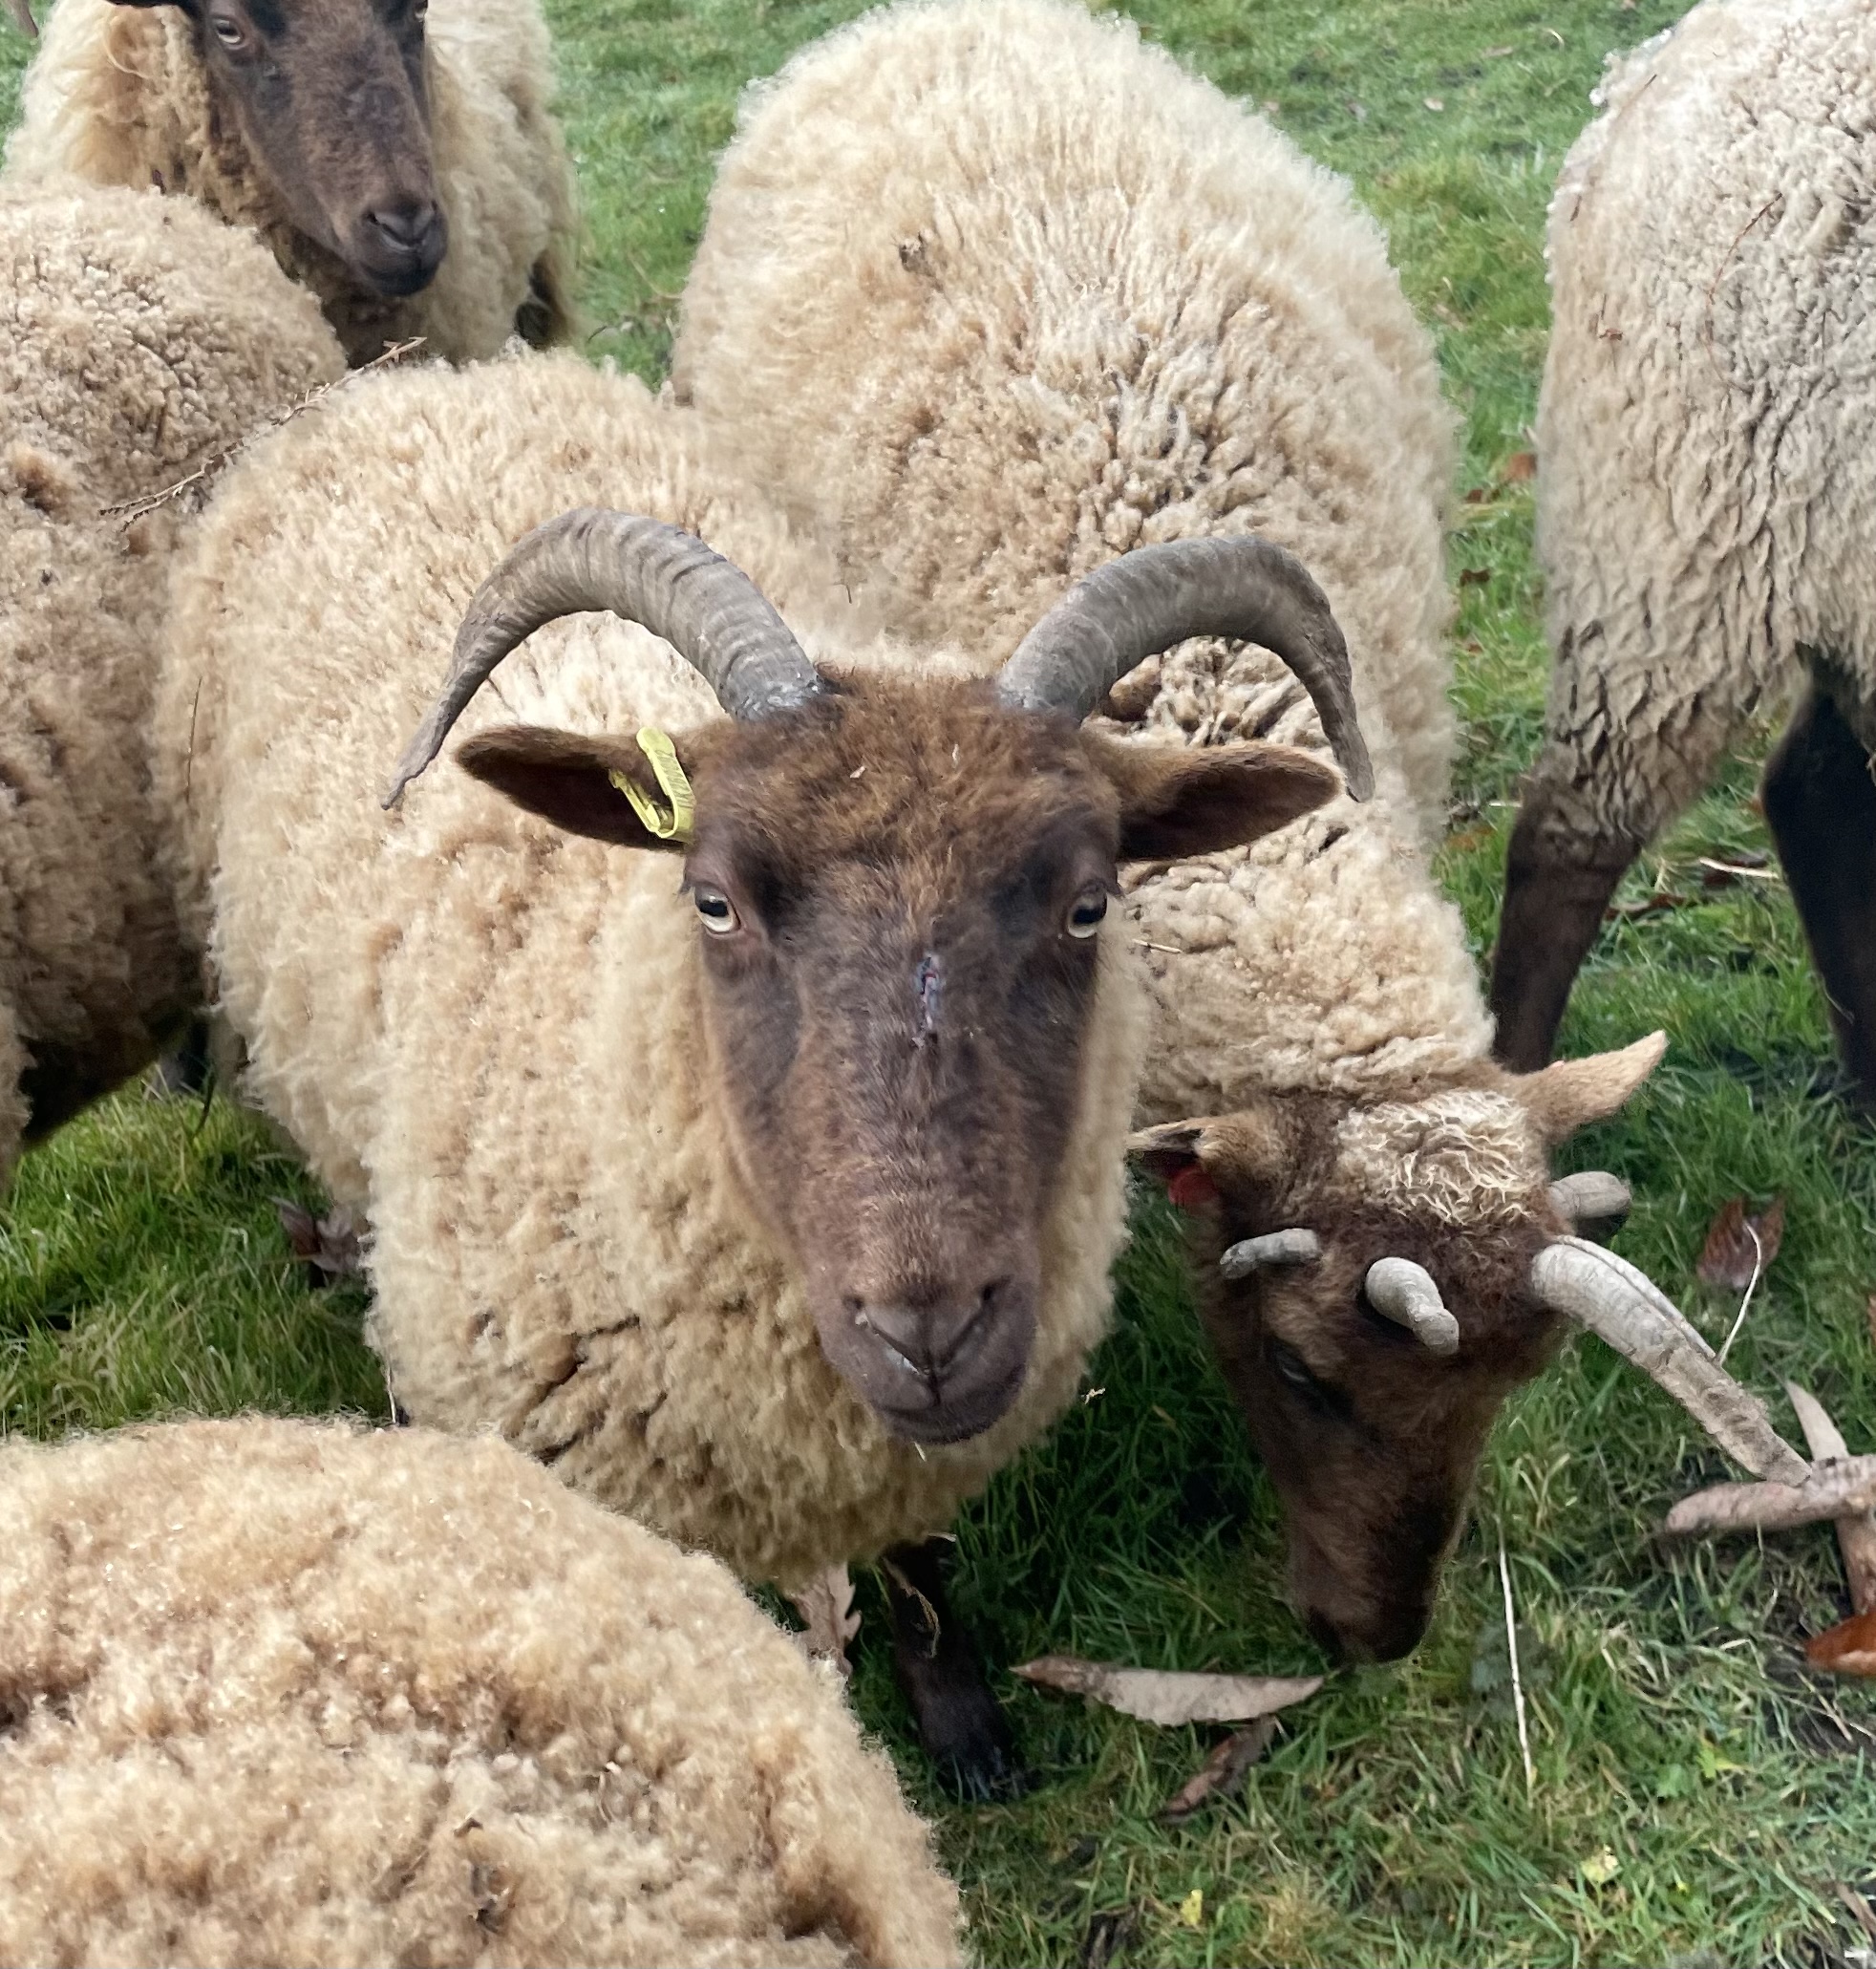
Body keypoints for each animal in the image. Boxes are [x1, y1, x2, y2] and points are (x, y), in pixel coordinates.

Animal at [150, 346, 1369, 1792]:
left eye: (1088, 905)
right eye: (715, 900)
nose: (928, 1329)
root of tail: (416, 378)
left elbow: (921, 1570)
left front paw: (964, 1727)